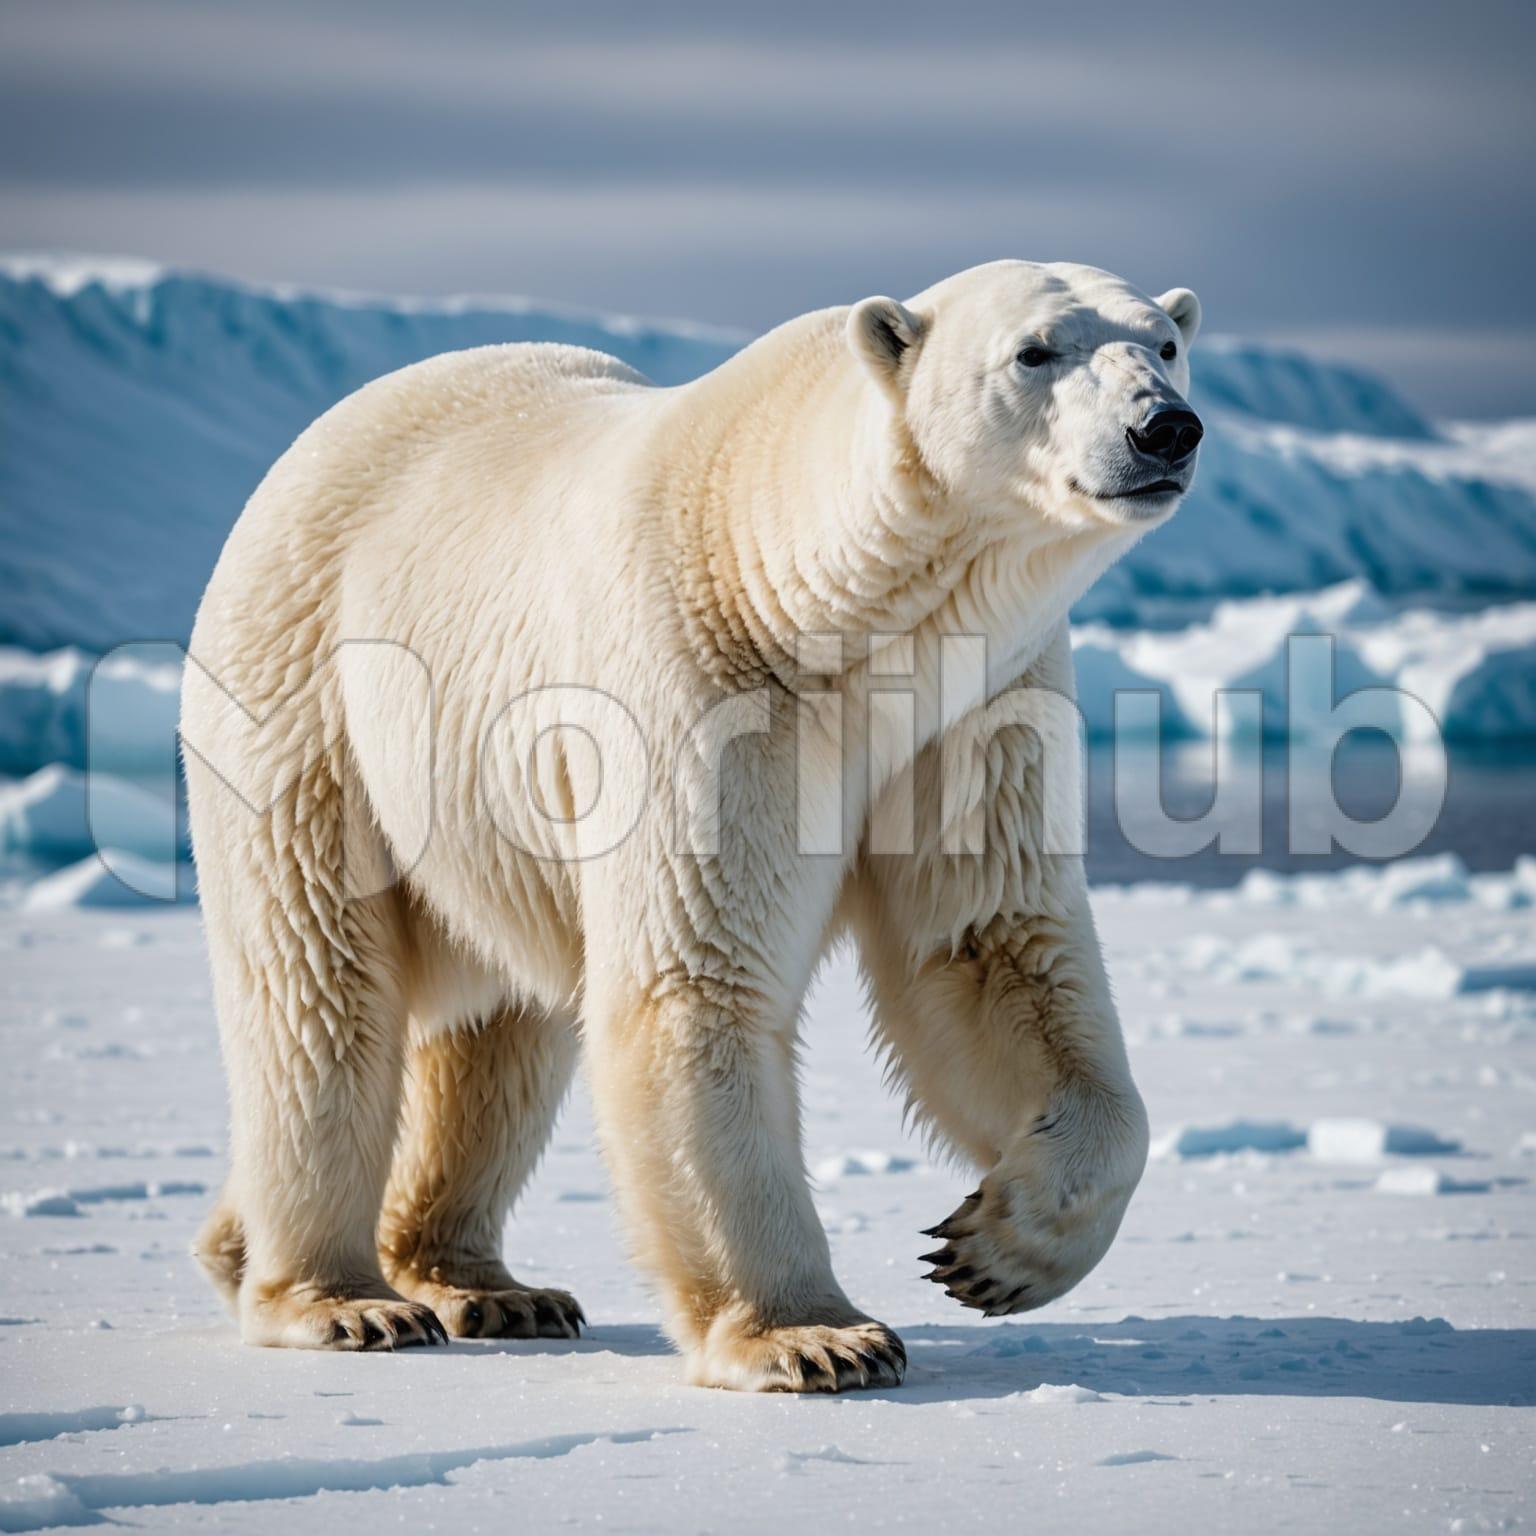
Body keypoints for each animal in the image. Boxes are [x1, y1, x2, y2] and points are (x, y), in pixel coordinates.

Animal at [182, 259, 1203, 1392]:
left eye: (1165, 344)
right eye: (1034, 351)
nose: (1166, 428)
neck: (797, 579)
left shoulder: (969, 711)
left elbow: (990, 947)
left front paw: (993, 1249)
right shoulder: (701, 685)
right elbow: (694, 979)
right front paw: (817, 1336)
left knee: (500, 1027)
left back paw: (469, 1282)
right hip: (311, 697)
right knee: (319, 990)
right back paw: (336, 1297)